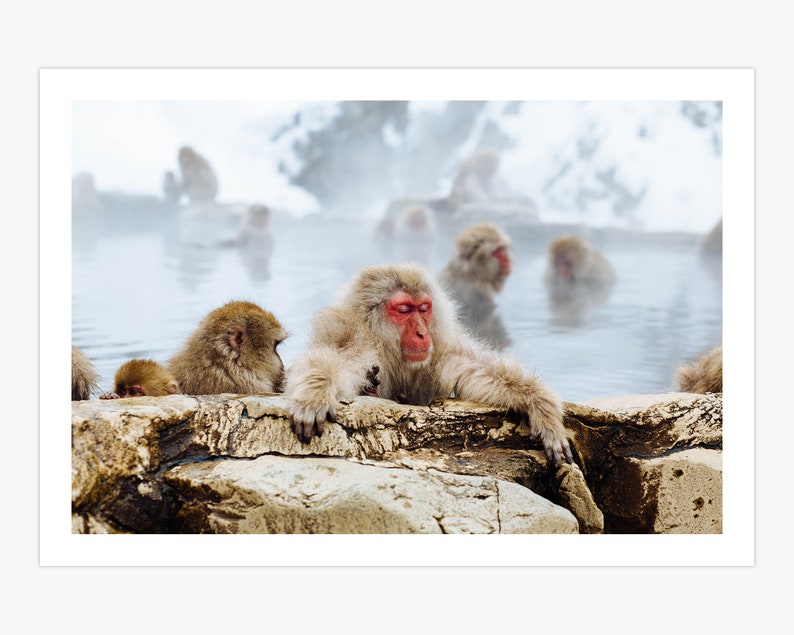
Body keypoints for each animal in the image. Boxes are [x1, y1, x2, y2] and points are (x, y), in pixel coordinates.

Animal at [284, 262, 573, 467]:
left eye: (423, 308)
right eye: (403, 310)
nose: (423, 333)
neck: (387, 347)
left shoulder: (440, 349)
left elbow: (474, 371)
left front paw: (540, 405)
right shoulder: (354, 338)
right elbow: (333, 360)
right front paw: (315, 392)